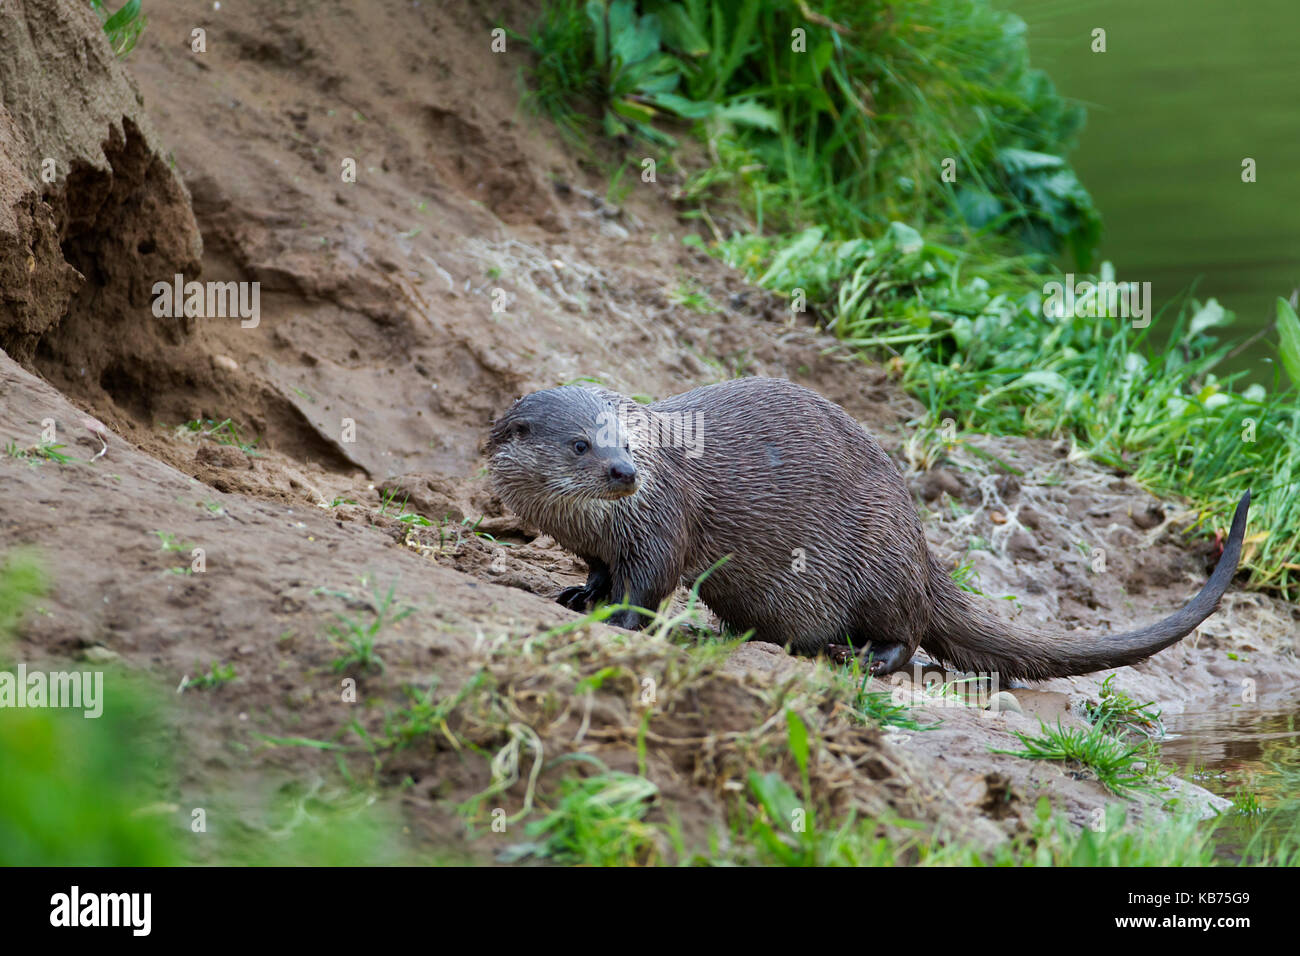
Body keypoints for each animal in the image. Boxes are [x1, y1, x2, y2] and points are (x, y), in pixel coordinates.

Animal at [487, 377, 1250, 681]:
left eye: (631, 442)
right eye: (582, 445)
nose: (623, 473)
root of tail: (920, 543)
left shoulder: (661, 521)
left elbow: (648, 584)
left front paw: (613, 619)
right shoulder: (596, 542)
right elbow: (597, 571)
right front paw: (578, 595)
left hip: (878, 562)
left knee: (909, 634)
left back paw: (863, 659)